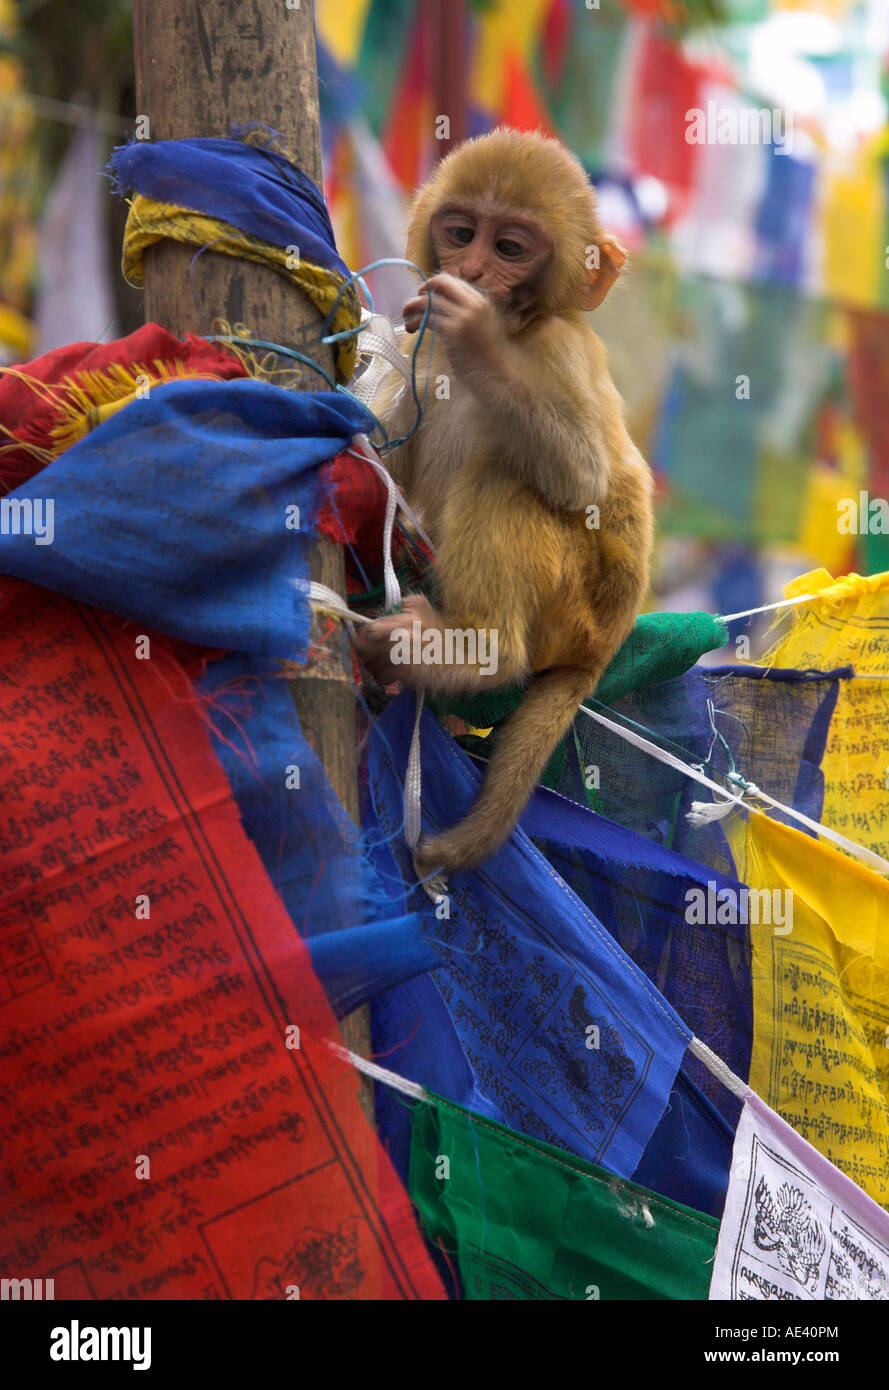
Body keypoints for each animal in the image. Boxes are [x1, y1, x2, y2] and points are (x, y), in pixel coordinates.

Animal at [358, 127, 654, 879]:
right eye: (461, 232)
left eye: (511, 248)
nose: (471, 271)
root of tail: (600, 648)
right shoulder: (420, 350)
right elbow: (384, 460)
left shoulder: (559, 347)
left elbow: (582, 476)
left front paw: (478, 335)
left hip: (573, 606)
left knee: (502, 476)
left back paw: (477, 653)